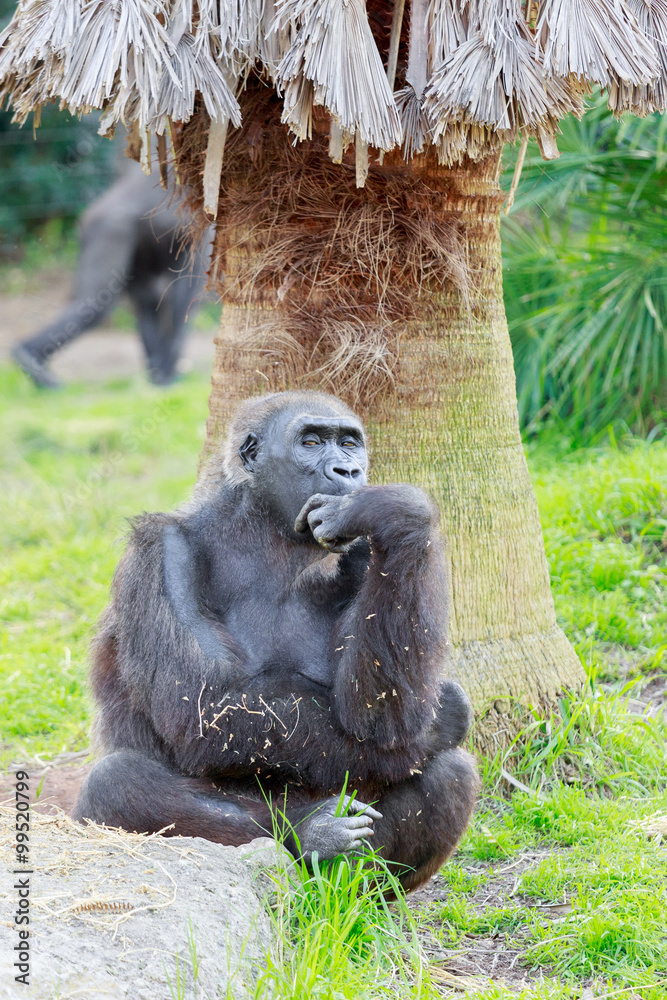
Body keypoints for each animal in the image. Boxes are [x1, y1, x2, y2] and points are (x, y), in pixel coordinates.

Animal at [75, 390, 479, 891]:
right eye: (311, 442)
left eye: (350, 444)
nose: (347, 472)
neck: (265, 533)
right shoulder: (163, 552)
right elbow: (205, 710)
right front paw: (445, 717)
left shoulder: (366, 552)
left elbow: (381, 716)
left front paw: (395, 510)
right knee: (116, 782)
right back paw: (311, 832)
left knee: (449, 772)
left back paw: (351, 890)